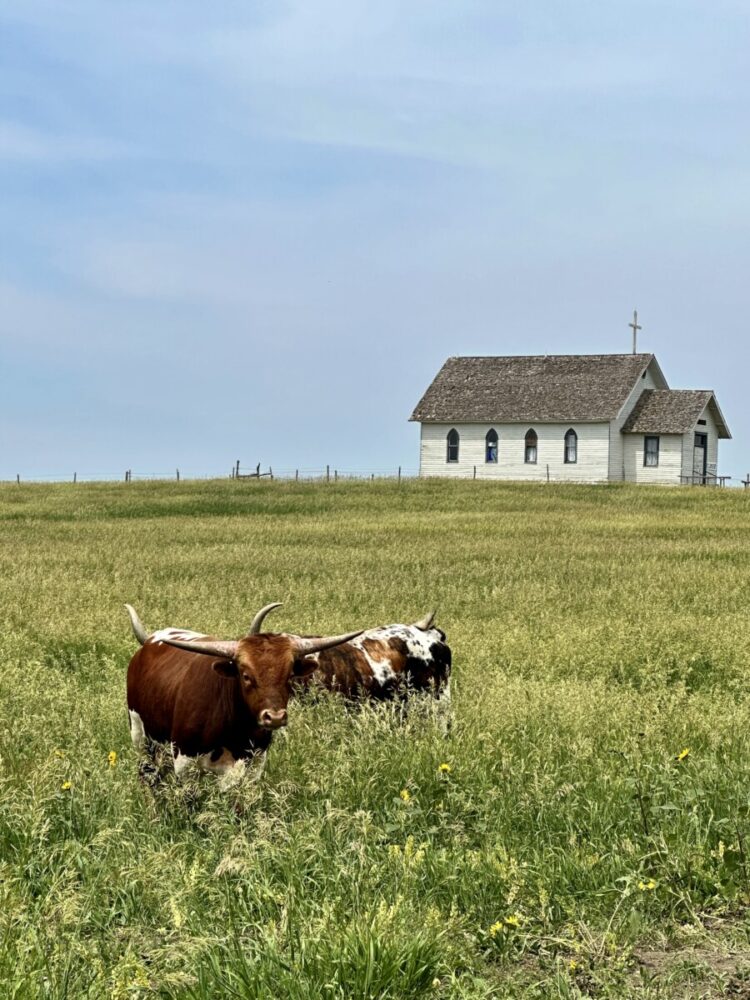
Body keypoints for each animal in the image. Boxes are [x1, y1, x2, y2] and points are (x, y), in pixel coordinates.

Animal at [125, 602, 362, 780]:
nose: (275, 717)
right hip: (140, 737)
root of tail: (151, 640)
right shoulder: (184, 763)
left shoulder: (254, 764)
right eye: (246, 676)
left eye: (289, 675)